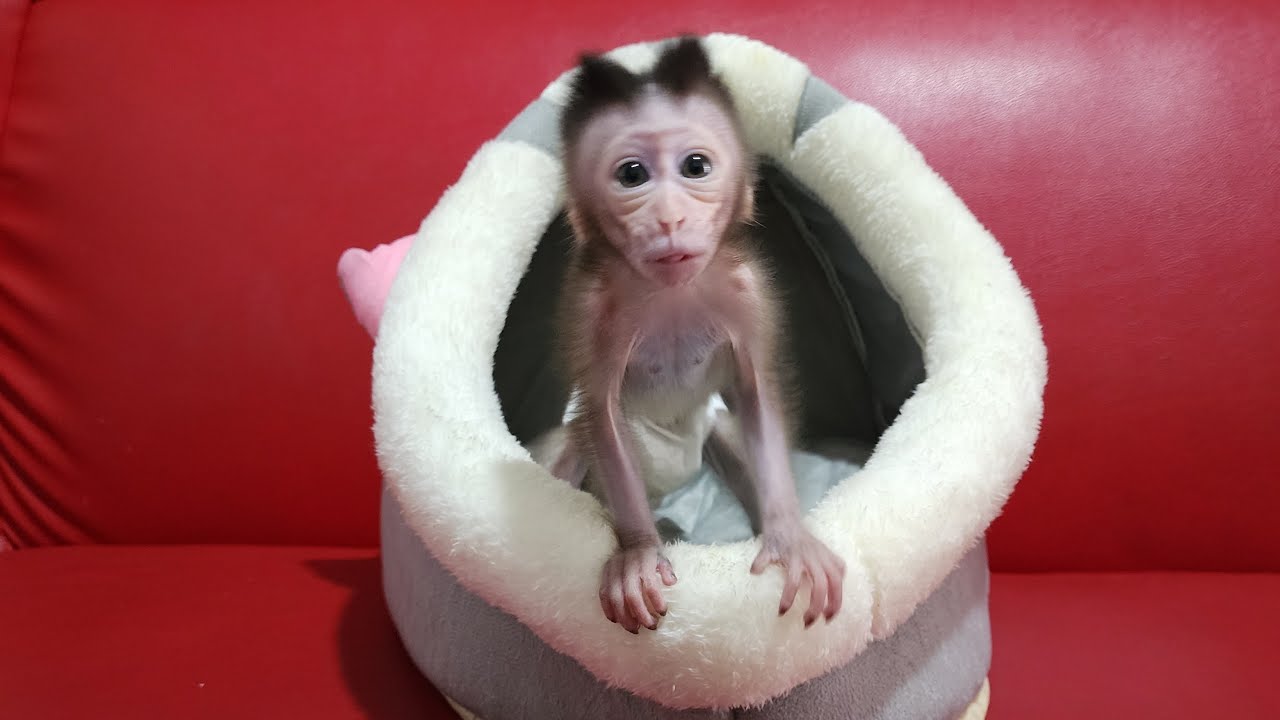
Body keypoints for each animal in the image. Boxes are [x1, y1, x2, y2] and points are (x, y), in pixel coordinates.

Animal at [549, 36, 845, 635]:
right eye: (632, 175)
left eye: (695, 166)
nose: (668, 218)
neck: (672, 295)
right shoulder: (590, 309)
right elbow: (602, 411)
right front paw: (639, 553)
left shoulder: (747, 292)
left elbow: (756, 396)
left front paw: (789, 535)